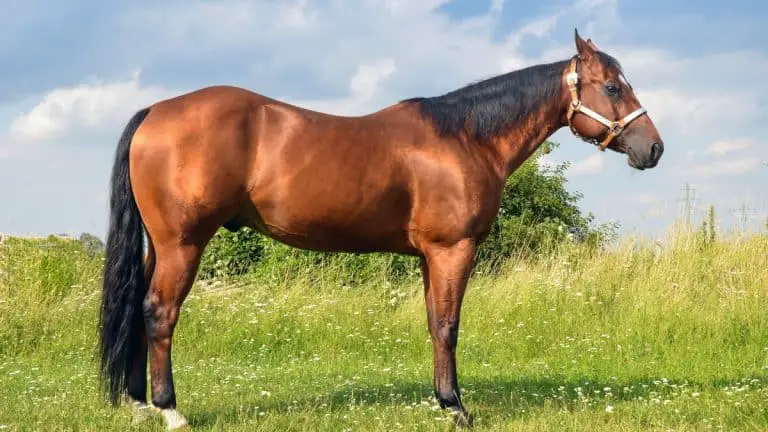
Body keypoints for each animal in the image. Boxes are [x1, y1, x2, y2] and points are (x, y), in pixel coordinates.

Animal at [98, 30, 663, 430]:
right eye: (612, 86)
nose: (653, 148)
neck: (466, 138)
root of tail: (155, 111)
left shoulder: (428, 257)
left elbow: (434, 323)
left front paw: (442, 401)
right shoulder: (452, 250)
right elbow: (448, 326)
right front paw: (457, 409)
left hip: (160, 247)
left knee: (138, 307)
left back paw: (139, 404)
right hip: (183, 244)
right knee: (159, 312)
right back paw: (170, 410)